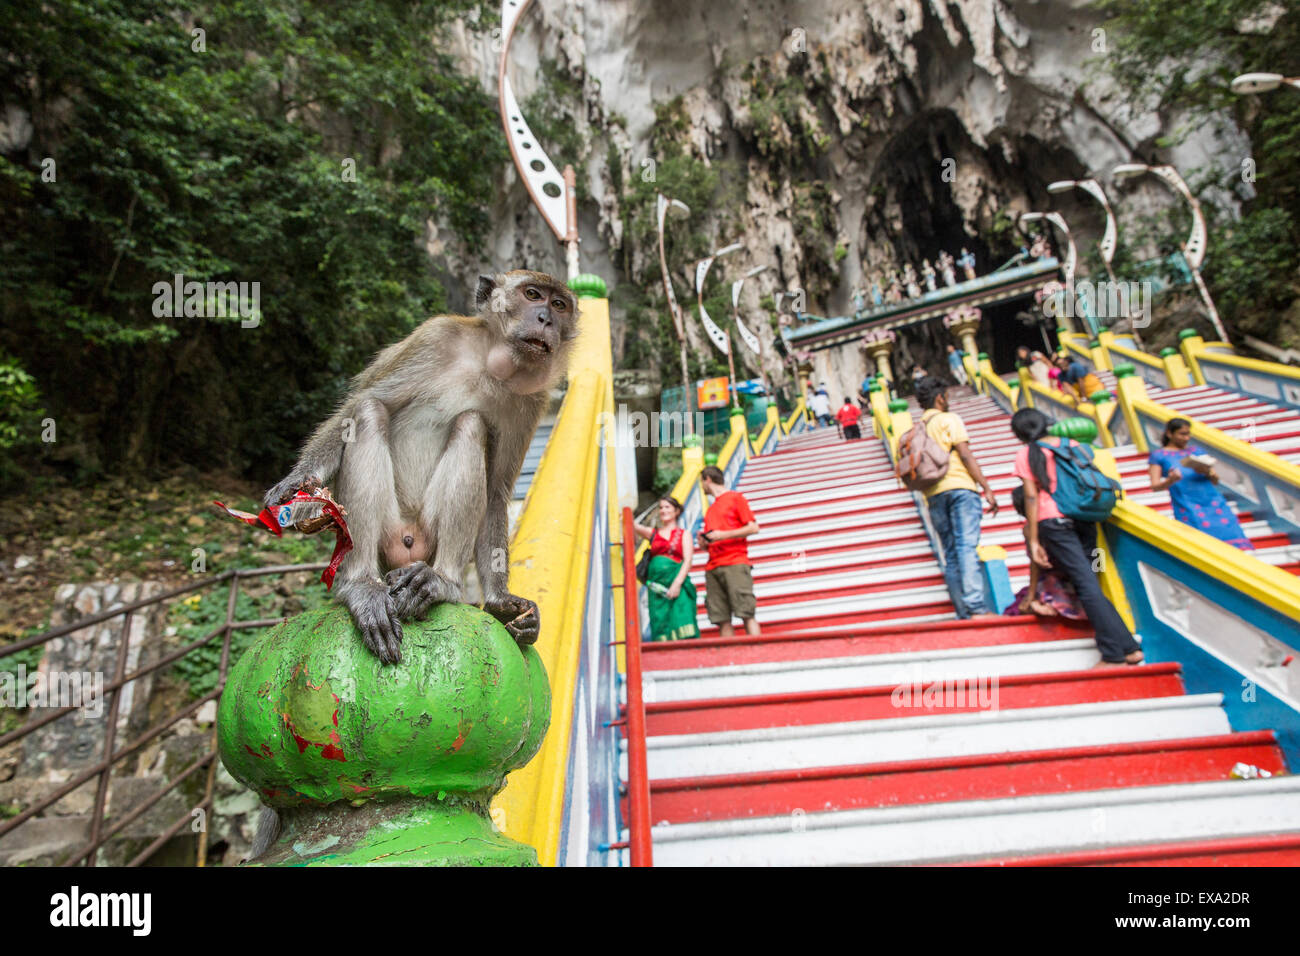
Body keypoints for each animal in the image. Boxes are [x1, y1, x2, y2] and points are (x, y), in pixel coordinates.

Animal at [262, 270, 579, 666]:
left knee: (471, 423)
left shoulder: (530, 400)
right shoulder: (435, 338)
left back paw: (441, 581)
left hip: (427, 538)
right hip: (388, 532)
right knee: (368, 412)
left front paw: (501, 602)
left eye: (559, 304)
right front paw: (296, 482)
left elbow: (496, 490)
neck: (490, 366)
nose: (546, 319)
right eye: (533, 294)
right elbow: (360, 405)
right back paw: (360, 585)